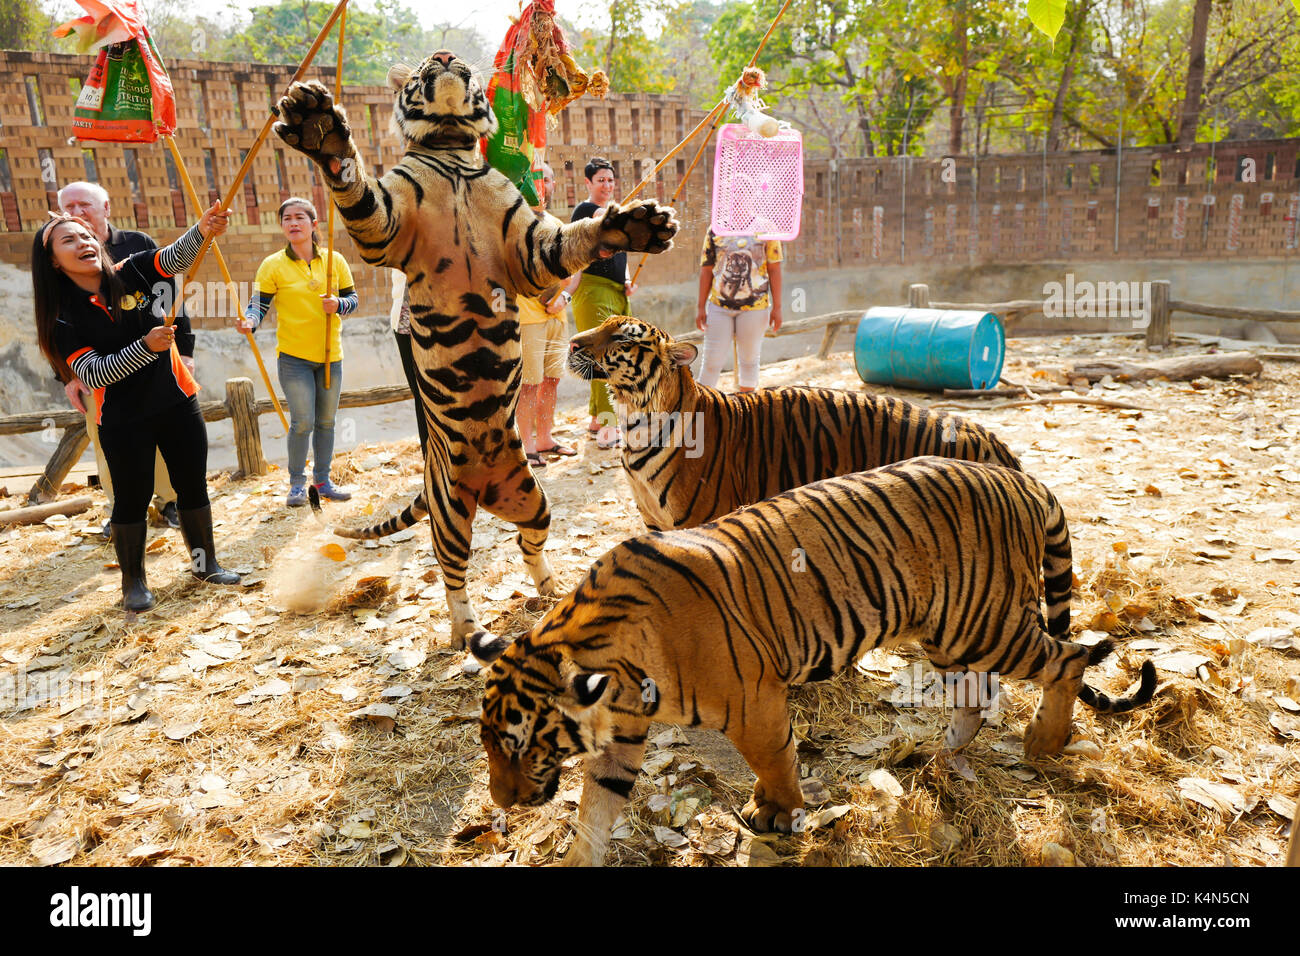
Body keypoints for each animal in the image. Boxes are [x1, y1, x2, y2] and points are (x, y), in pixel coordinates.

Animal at [271, 52, 678, 650]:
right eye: (427, 64)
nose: (444, 58)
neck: (453, 159)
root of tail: (480, 483)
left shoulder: (531, 250)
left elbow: (575, 239)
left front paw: (636, 224)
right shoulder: (385, 227)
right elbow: (356, 187)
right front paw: (319, 128)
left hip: (532, 499)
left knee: (526, 544)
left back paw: (550, 588)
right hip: (450, 514)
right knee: (452, 575)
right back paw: (471, 632)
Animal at [469, 457, 1157, 866]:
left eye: (522, 746)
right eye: (488, 745)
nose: (503, 801)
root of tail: (1020, 479)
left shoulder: (755, 703)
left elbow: (775, 761)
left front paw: (777, 814)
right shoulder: (617, 737)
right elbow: (595, 811)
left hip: (985, 624)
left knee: (1067, 658)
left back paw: (1043, 741)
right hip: (949, 633)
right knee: (977, 694)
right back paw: (946, 757)